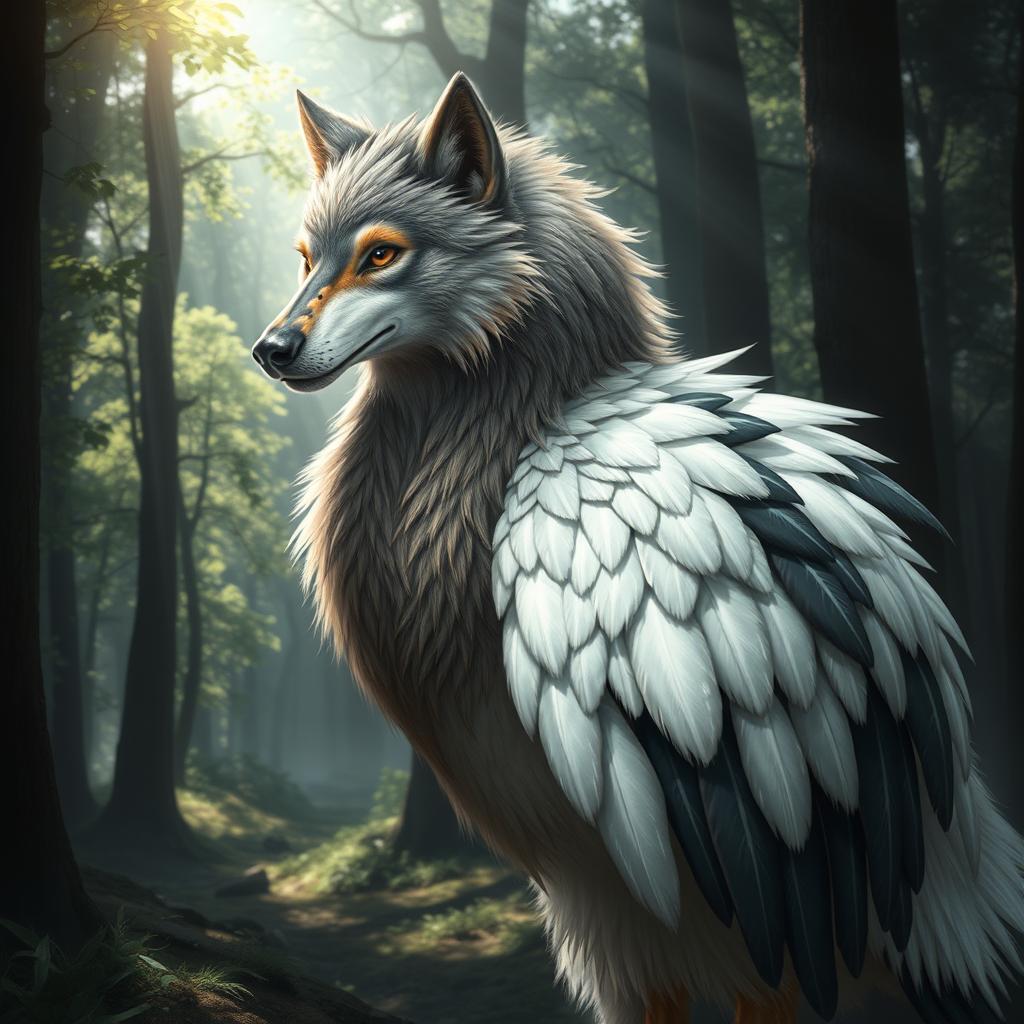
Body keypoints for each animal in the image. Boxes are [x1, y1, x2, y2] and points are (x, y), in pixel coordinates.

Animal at [252, 74, 1024, 1024]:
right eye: (304, 258)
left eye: (381, 255)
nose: (271, 349)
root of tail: (962, 866)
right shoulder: (605, 911)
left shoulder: (686, 895)